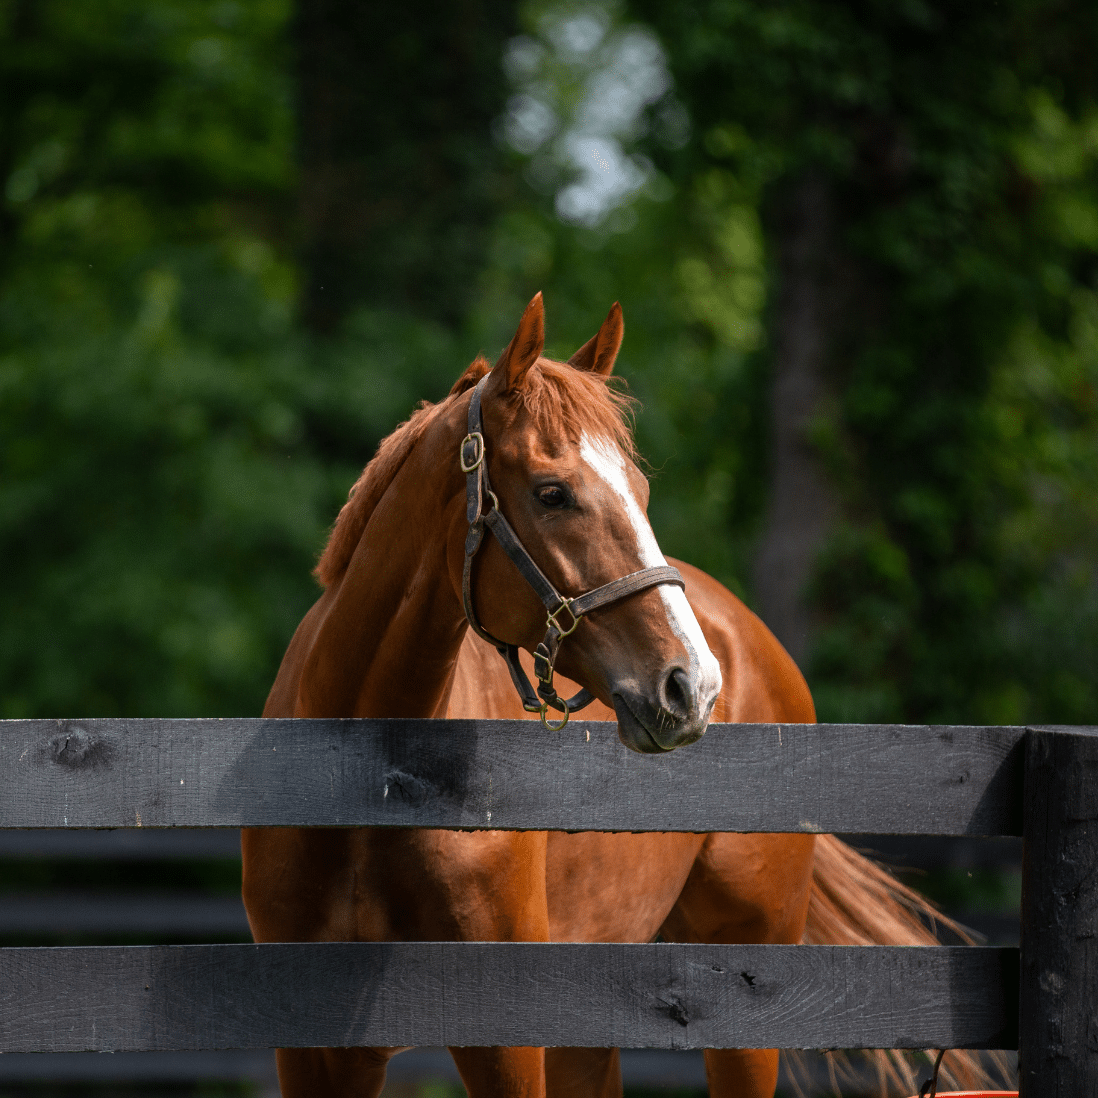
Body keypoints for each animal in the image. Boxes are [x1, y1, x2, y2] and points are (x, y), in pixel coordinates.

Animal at [242, 294, 997, 1098]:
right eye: (553, 493)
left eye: (641, 491)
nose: (691, 684)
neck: (373, 782)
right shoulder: (318, 1049)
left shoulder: (504, 1040)